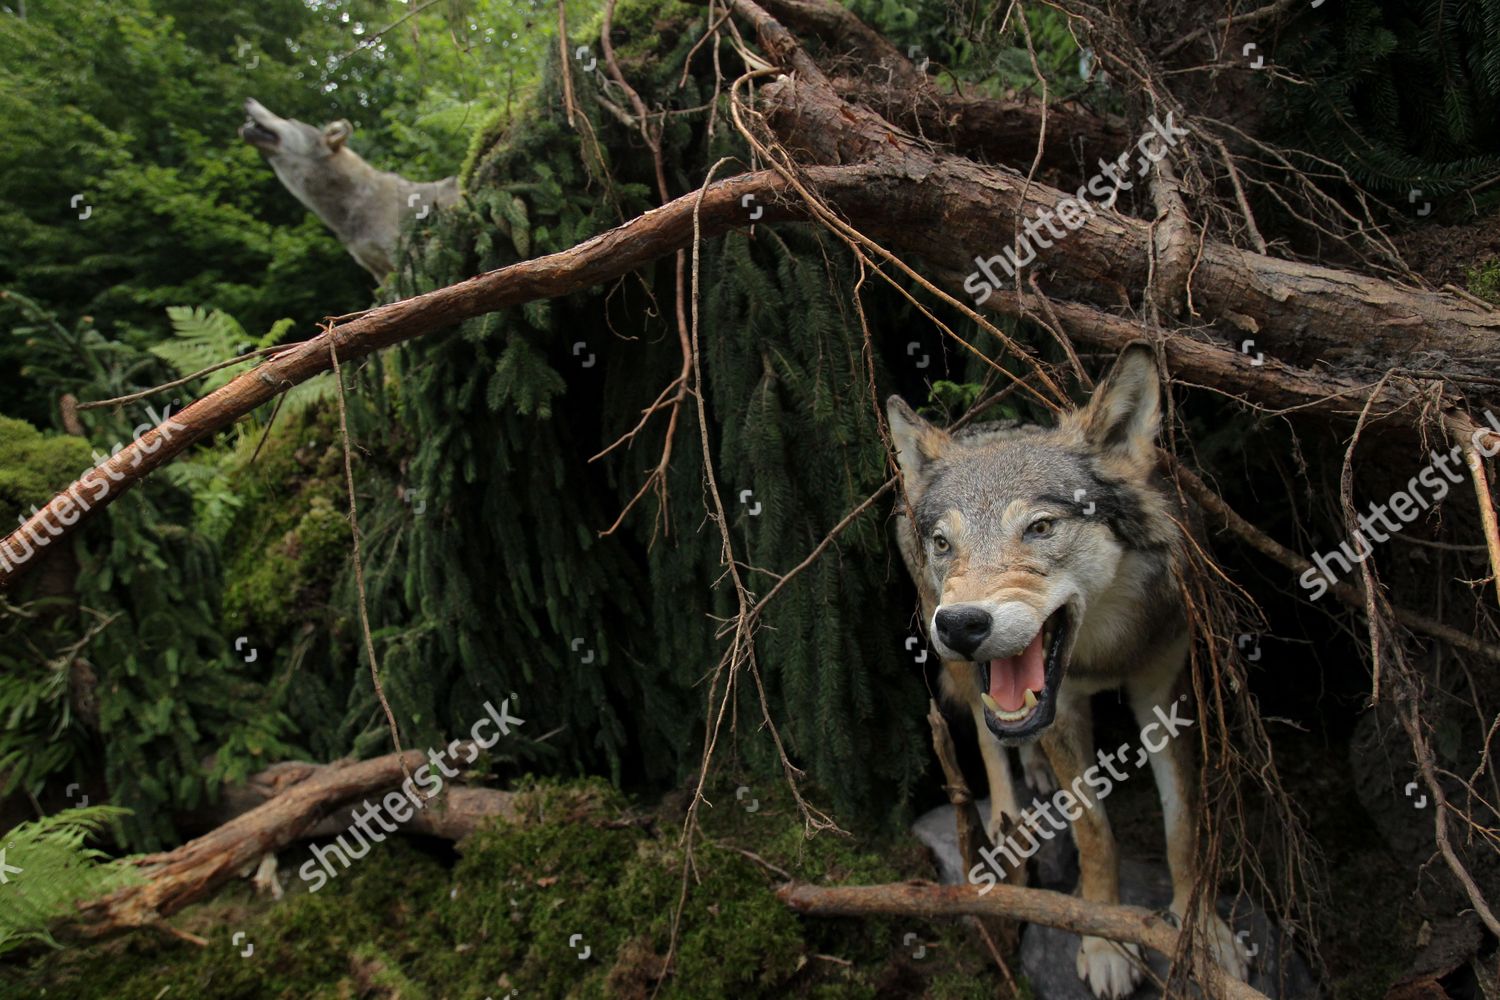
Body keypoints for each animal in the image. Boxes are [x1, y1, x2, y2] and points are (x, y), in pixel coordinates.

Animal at [887, 344, 1249, 998]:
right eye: (944, 542)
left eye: (1041, 527)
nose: (961, 625)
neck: (1107, 651)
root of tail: (982, 423)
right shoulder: (1062, 709)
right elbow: (1095, 833)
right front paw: (1104, 938)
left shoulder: (1164, 692)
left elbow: (1184, 830)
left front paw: (1201, 934)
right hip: (961, 670)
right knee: (986, 734)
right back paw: (1005, 820)